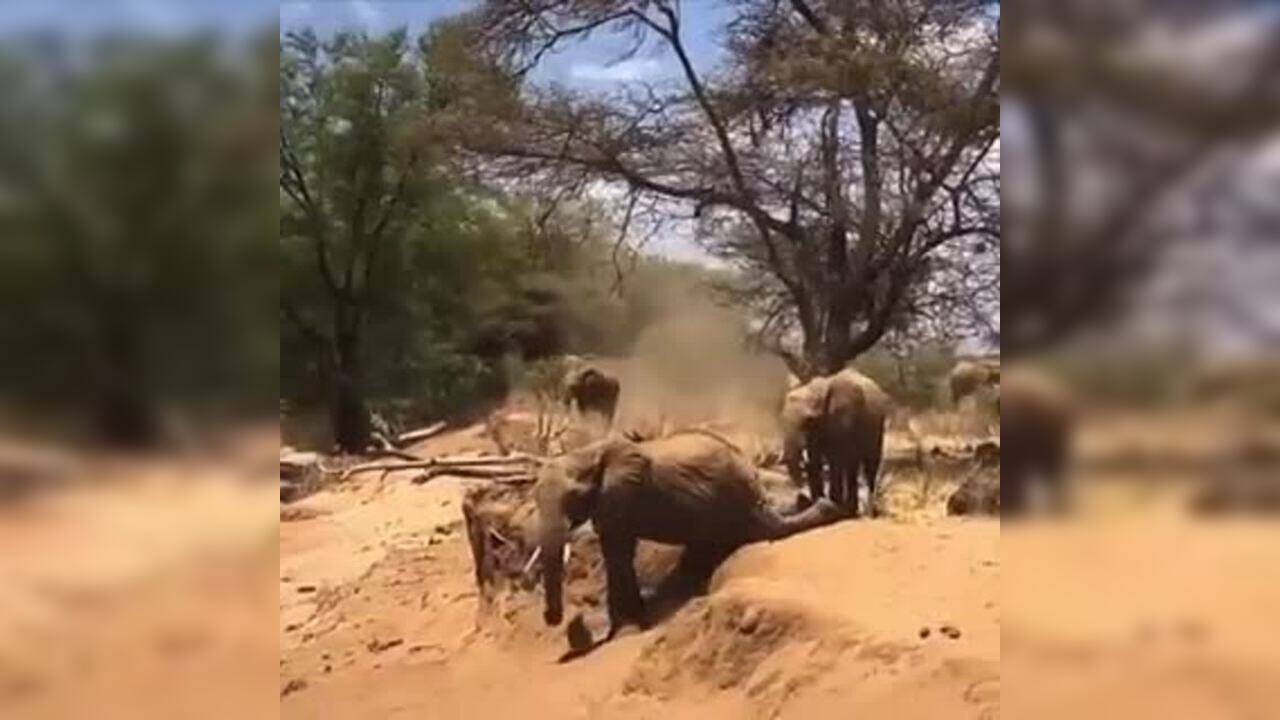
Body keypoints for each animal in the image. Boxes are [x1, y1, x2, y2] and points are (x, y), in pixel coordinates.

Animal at [535, 431, 842, 634]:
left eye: (572, 497)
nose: (551, 618)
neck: (587, 453)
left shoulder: (622, 495)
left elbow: (619, 553)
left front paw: (630, 626)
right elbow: (615, 553)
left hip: (731, 499)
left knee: (763, 529)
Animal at [781, 368, 889, 517]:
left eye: (809, 420)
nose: (802, 493)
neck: (817, 390)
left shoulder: (843, 416)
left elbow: (836, 459)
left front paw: (832, 505)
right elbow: (815, 460)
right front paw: (817, 503)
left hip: (877, 426)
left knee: (869, 464)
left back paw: (867, 511)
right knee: (852, 465)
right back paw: (851, 509)